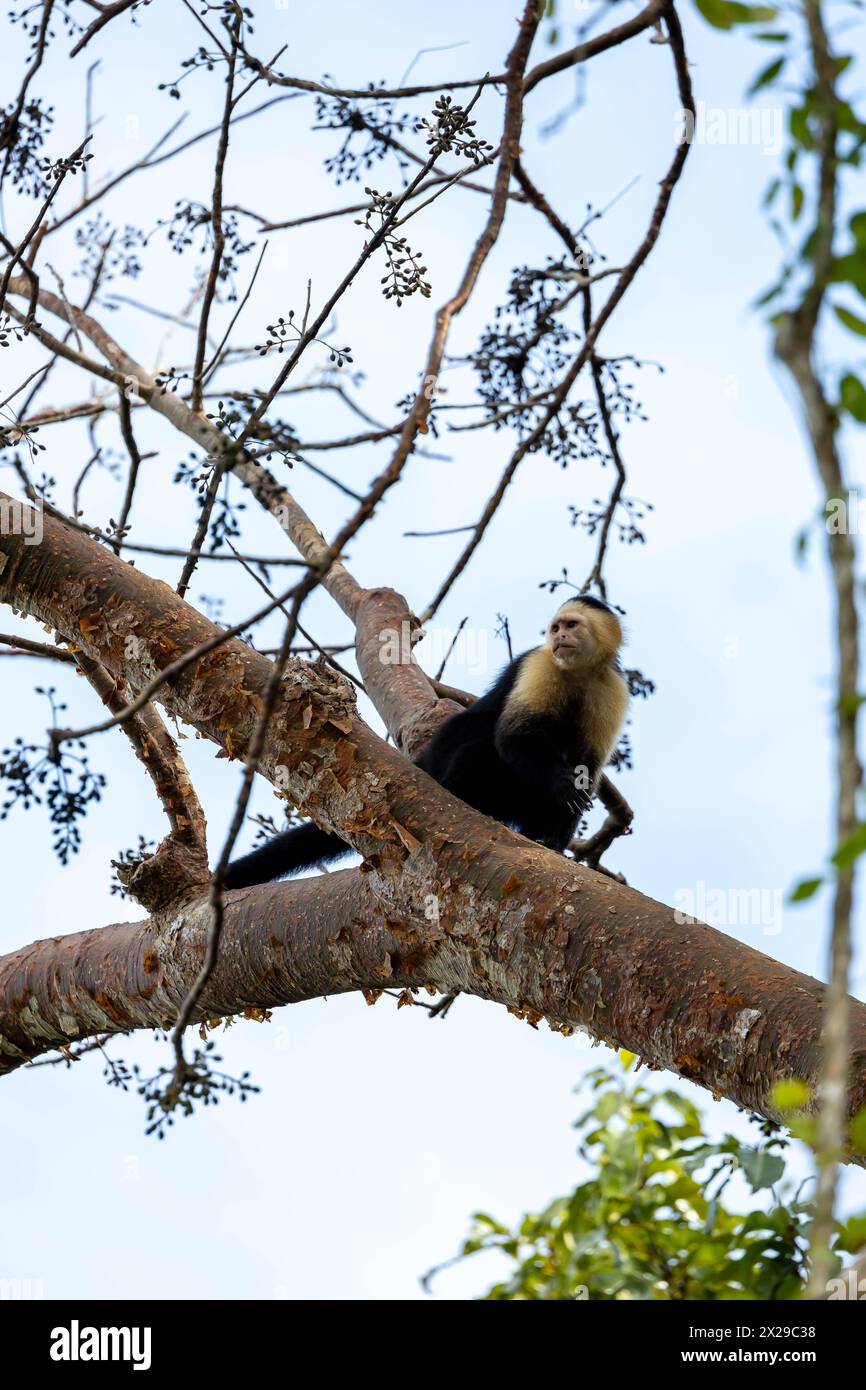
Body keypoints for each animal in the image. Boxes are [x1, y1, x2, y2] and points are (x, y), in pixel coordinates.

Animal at [224, 597, 629, 889]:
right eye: (556, 628)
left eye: (572, 625)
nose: (559, 637)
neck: (577, 674)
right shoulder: (540, 665)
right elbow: (513, 736)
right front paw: (561, 784)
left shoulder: (611, 687)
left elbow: (587, 765)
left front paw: (566, 804)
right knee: (479, 750)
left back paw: (546, 840)